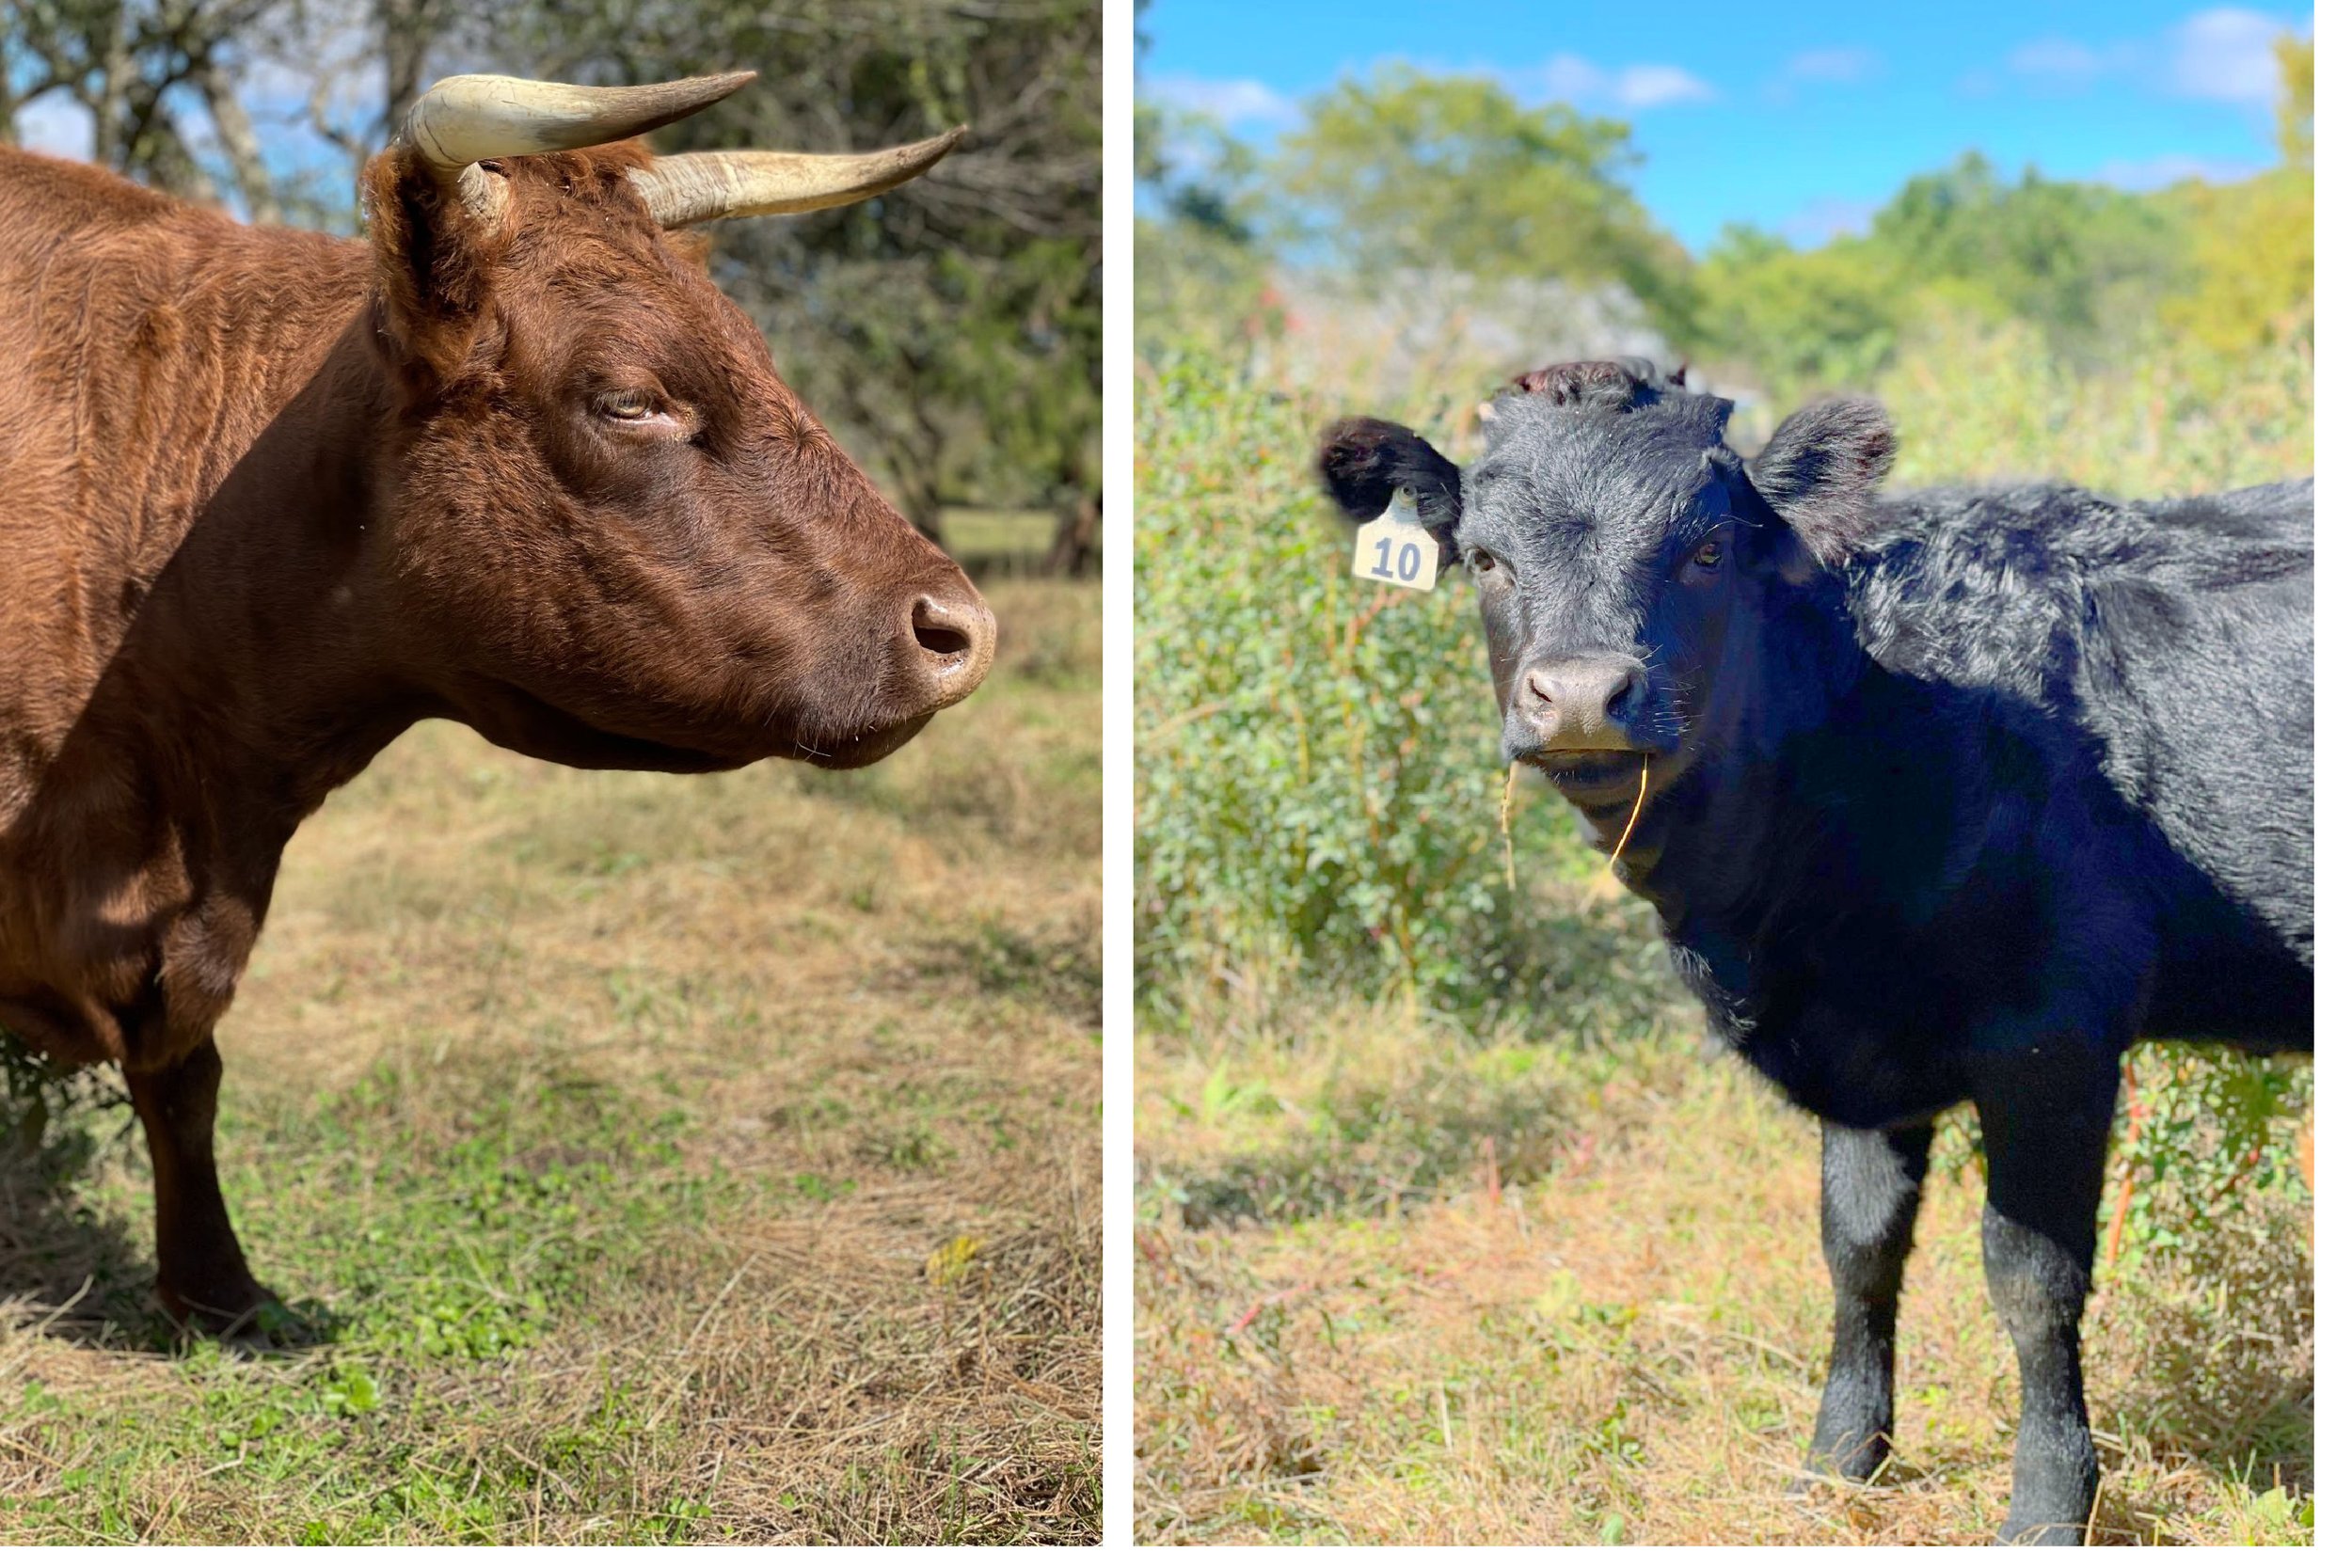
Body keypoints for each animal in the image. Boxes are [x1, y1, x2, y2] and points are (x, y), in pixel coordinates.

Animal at [1319, 358, 2312, 1545]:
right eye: (1482, 557)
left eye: (1706, 549)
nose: (1581, 695)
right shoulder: (1858, 1040)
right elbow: (1857, 1246)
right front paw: (1837, 1460)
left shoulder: (2055, 1034)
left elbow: (2030, 1275)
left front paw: (2044, 1502)